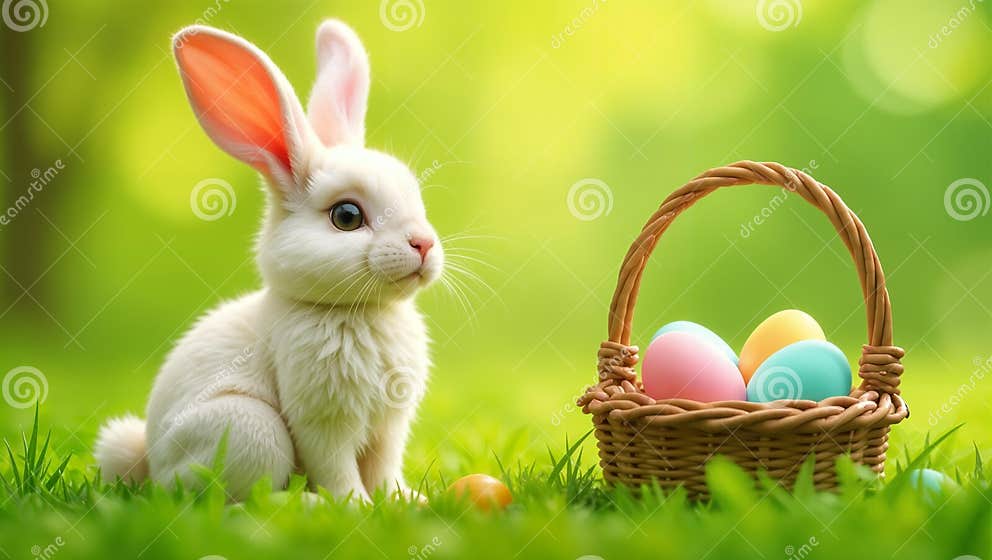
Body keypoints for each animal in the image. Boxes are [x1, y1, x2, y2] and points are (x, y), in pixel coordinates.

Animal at [93, 20, 443, 503]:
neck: (360, 312)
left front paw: (406, 502)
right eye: (346, 216)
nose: (423, 245)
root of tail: (151, 462)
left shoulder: (388, 429)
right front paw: (354, 508)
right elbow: (339, 471)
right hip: (252, 430)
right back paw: (306, 503)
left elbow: (384, 470)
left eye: (416, 197)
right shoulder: (322, 423)